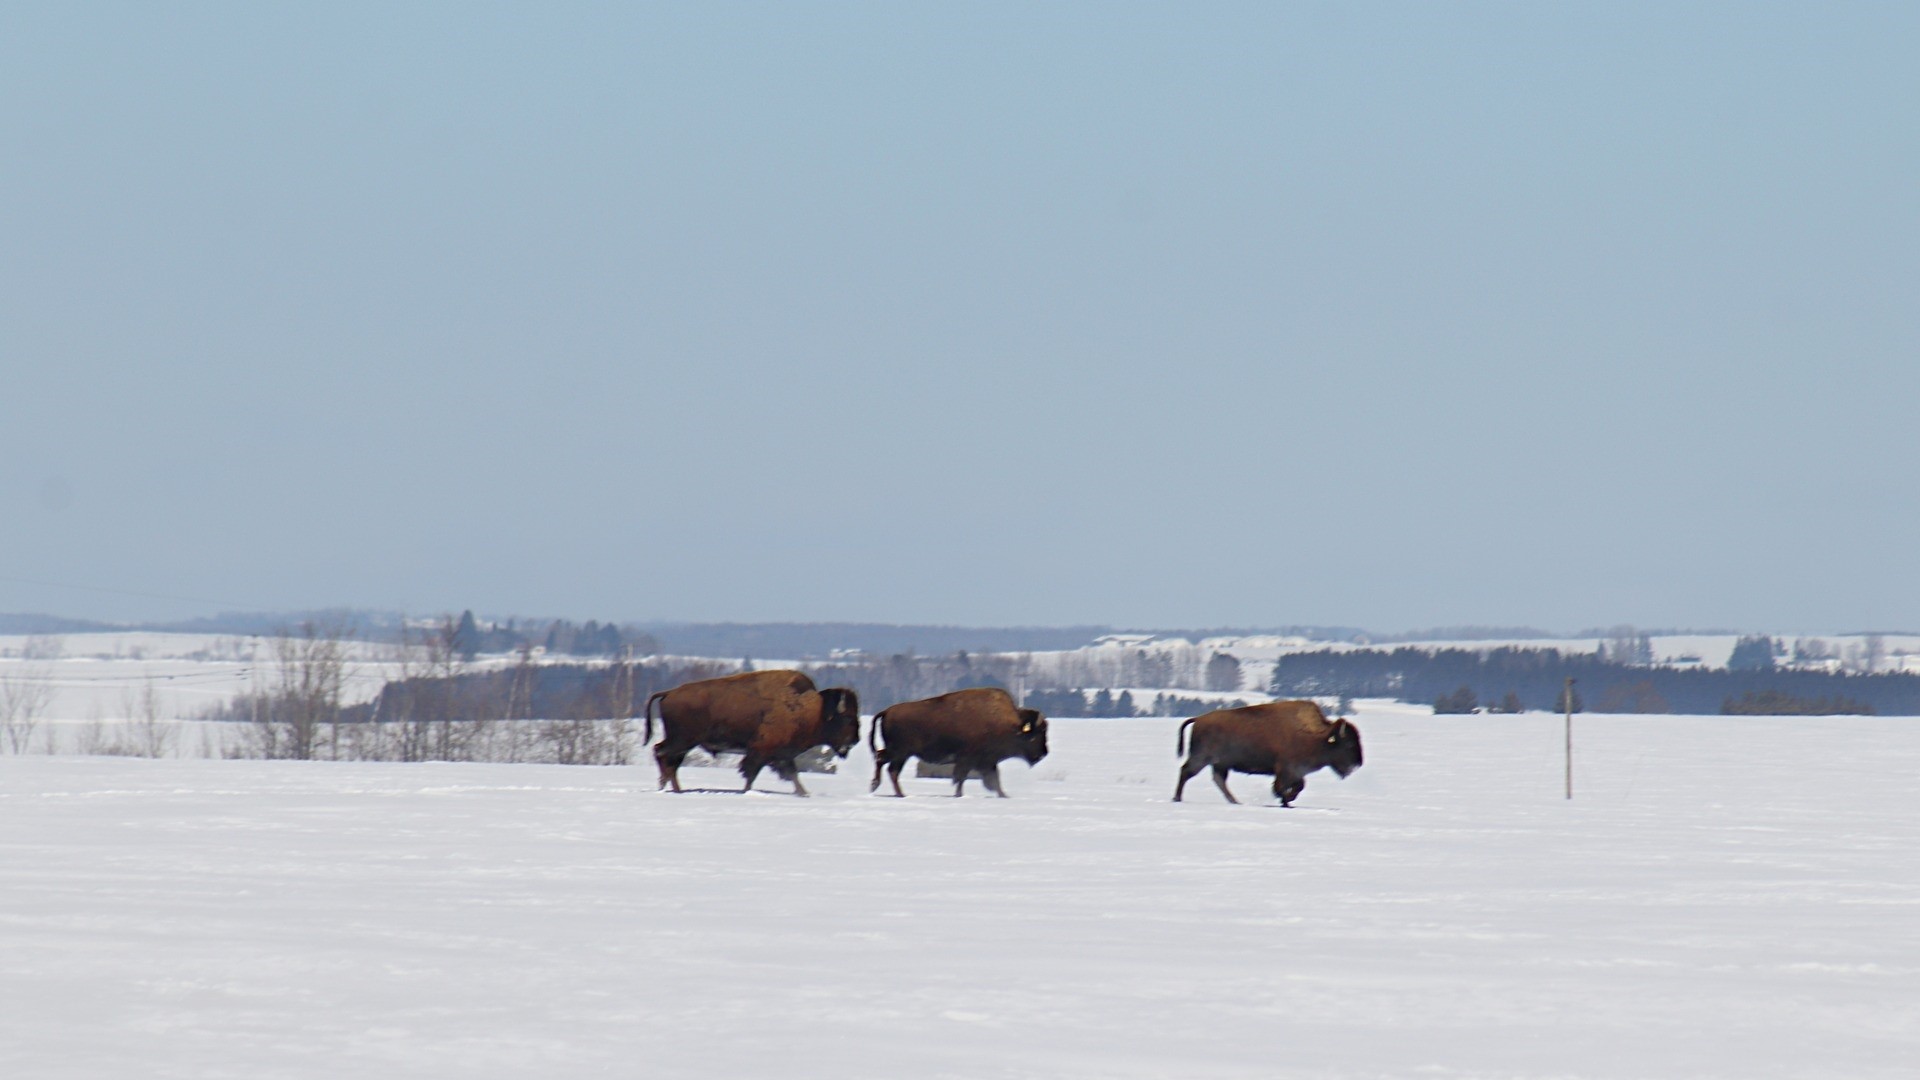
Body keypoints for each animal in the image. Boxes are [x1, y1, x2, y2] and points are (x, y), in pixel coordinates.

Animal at [644, 669, 860, 796]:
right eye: (847, 718)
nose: (855, 740)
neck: (815, 710)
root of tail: (669, 692)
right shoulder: (761, 752)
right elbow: (751, 773)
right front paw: (746, 791)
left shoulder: (781, 754)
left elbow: (792, 774)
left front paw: (803, 793)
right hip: (682, 740)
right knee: (662, 754)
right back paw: (668, 787)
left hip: (683, 743)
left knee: (667, 758)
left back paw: (672, 788)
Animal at [868, 687, 1048, 798]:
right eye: (1039, 732)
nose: (1044, 753)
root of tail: (887, 711)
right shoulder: (968, 760)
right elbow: (962, 778)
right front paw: (958, 794)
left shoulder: (987, 762)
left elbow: (994, 781)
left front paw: (1004, 795)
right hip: (900, 753)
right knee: (889, 767)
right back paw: (894, 792)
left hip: (899, 753)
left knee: (883, 761)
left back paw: (883, 788)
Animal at [1173, 700, 1363, 806]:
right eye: (1349, 744)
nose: (1357, 764)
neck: (1316, 735)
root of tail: (1198, 719)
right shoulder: (1286, 769)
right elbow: (1282, 787)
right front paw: (1285, 801)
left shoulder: (1294, 772)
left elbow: (1299, 786)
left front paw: (1288, 800)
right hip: (1201, 759)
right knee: (1186, 772)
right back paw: (1177, 799)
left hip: (1220, 764)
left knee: (1218, 780)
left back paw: (1236, 802)